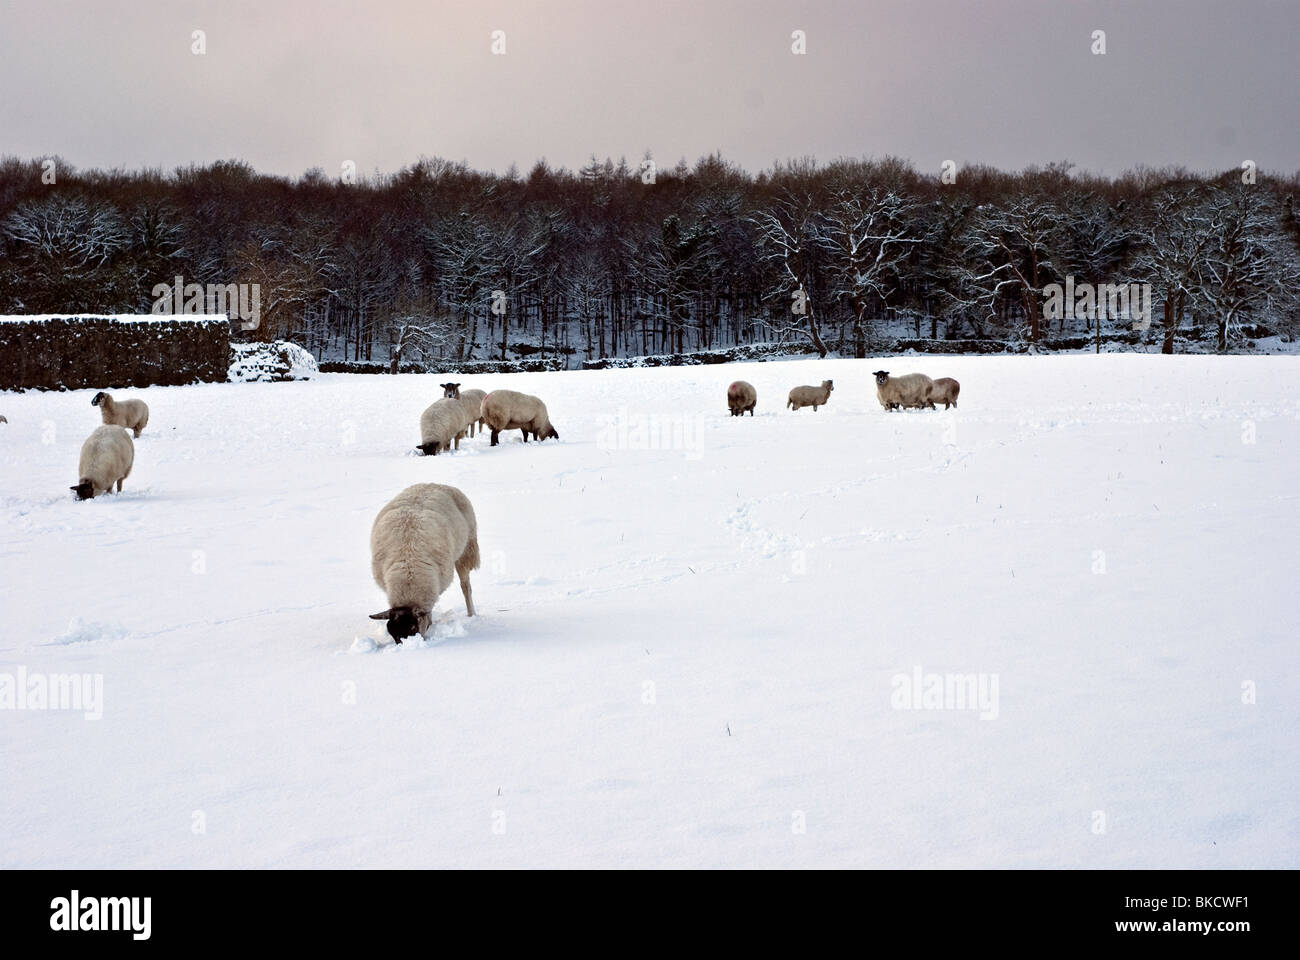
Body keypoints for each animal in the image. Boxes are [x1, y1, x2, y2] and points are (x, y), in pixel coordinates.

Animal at [369, 482, 480, 642]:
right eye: (391, 632)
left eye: (412, 628)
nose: (404, 645)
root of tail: (436, 483)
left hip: (466, 550)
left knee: (466, 586)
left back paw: (471, 614)